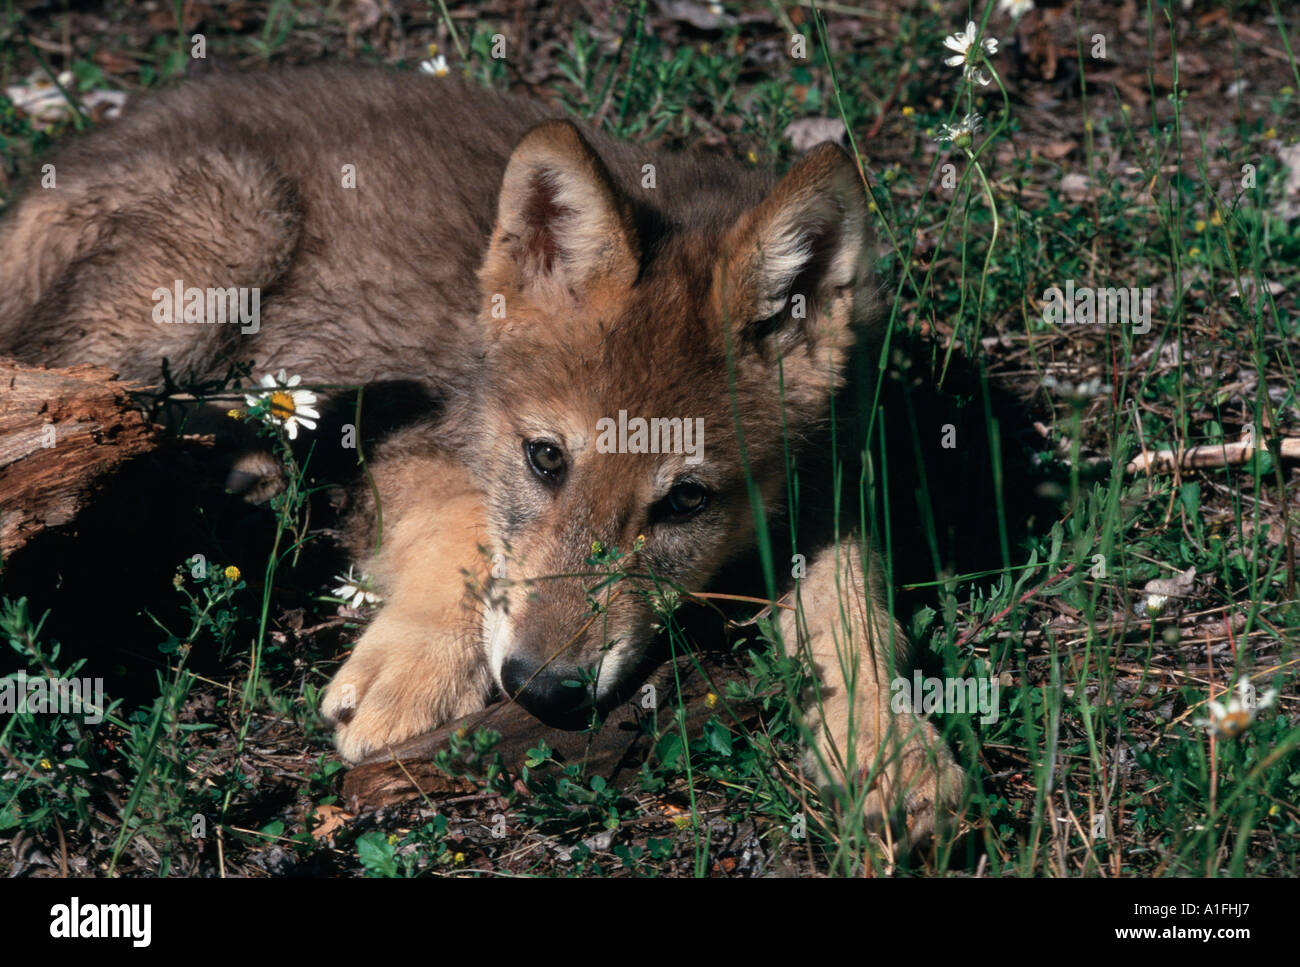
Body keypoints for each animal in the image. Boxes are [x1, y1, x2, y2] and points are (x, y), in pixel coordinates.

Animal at [0, 65, 964, 840]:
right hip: (219, 253)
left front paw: (893, 750)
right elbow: (470, 525)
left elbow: (855, 612)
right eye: (544, 458)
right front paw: (415, 668)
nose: (543, 689)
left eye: (687, 501)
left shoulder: (835, 491)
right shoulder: (406, 434)